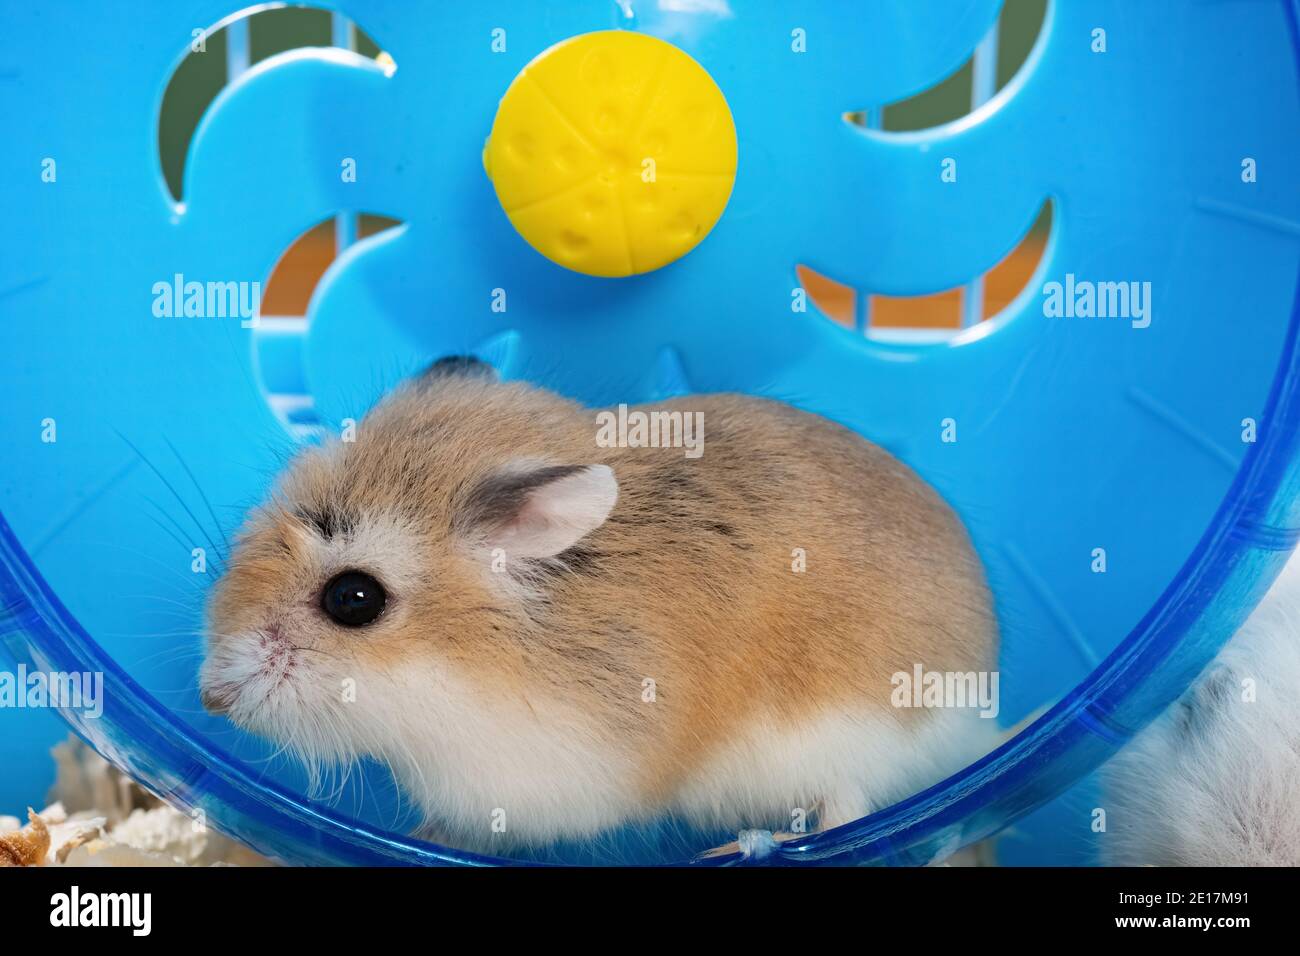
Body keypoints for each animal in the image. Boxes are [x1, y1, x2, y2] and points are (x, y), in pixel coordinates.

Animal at [200, 357, 997, 855]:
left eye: (353, 599)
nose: (210, 698)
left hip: (849, 743)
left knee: (845, 814)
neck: (463, 655)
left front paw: (420, 840)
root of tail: (980, 716)